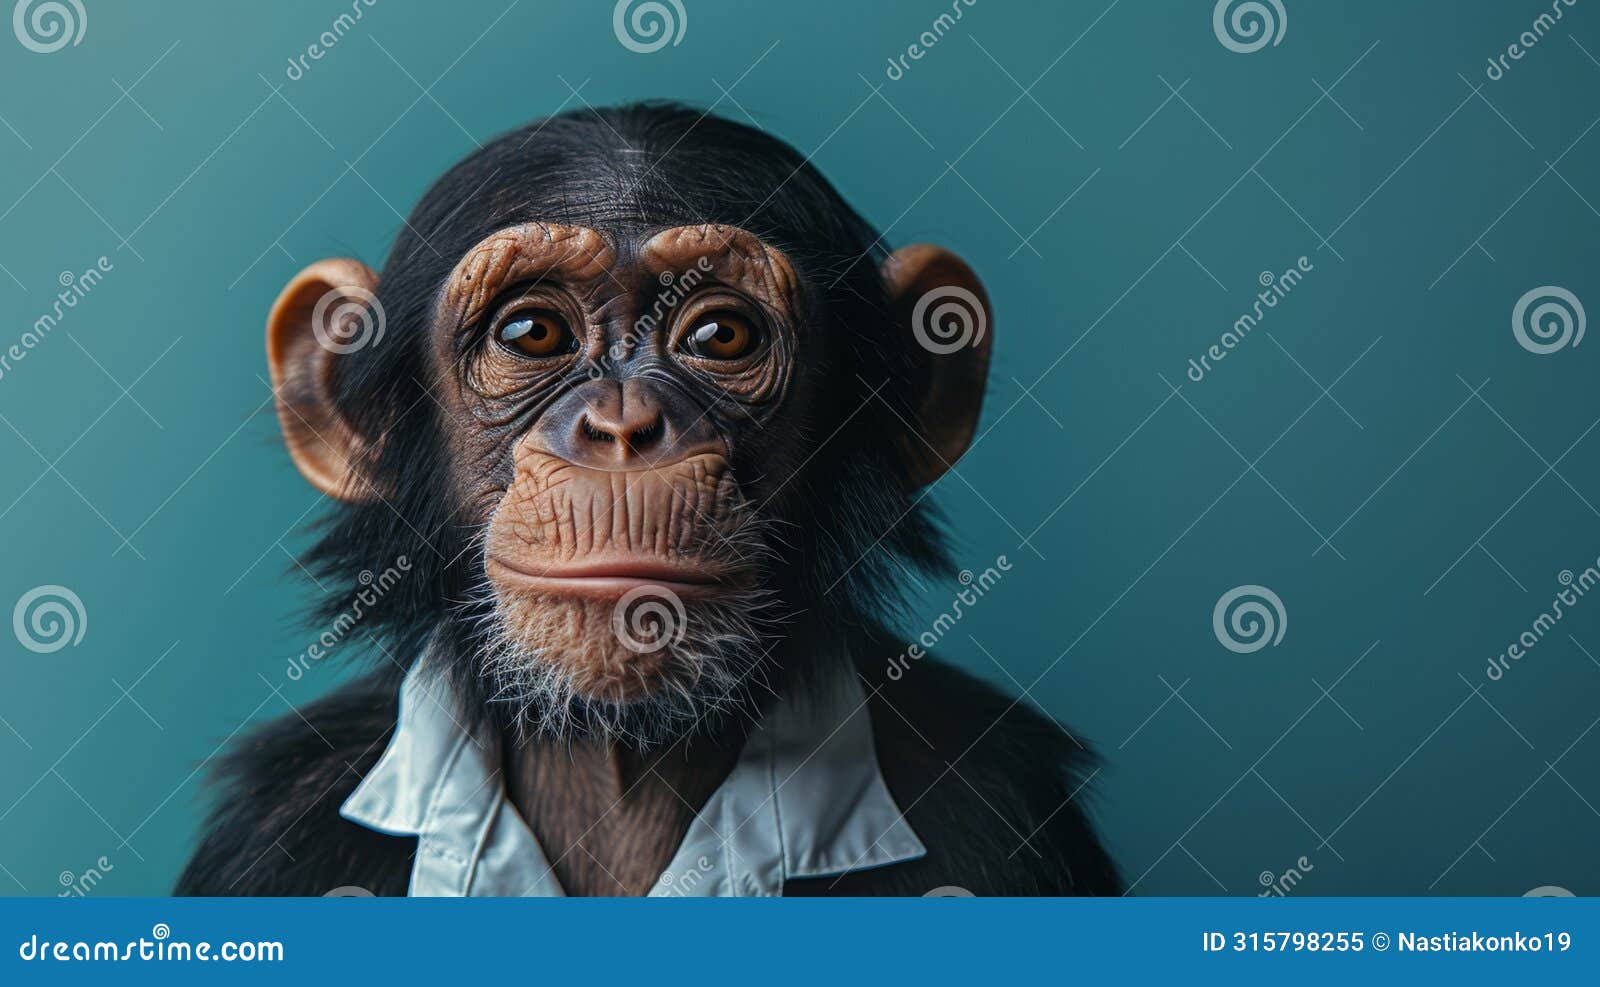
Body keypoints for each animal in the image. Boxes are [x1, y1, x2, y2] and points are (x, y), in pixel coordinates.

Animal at [175, 102, 1120, 897]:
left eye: (721, 334)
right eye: (532, 333)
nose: (624, 426)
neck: (619, 764)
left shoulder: (1012, 809)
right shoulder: (267, 830)